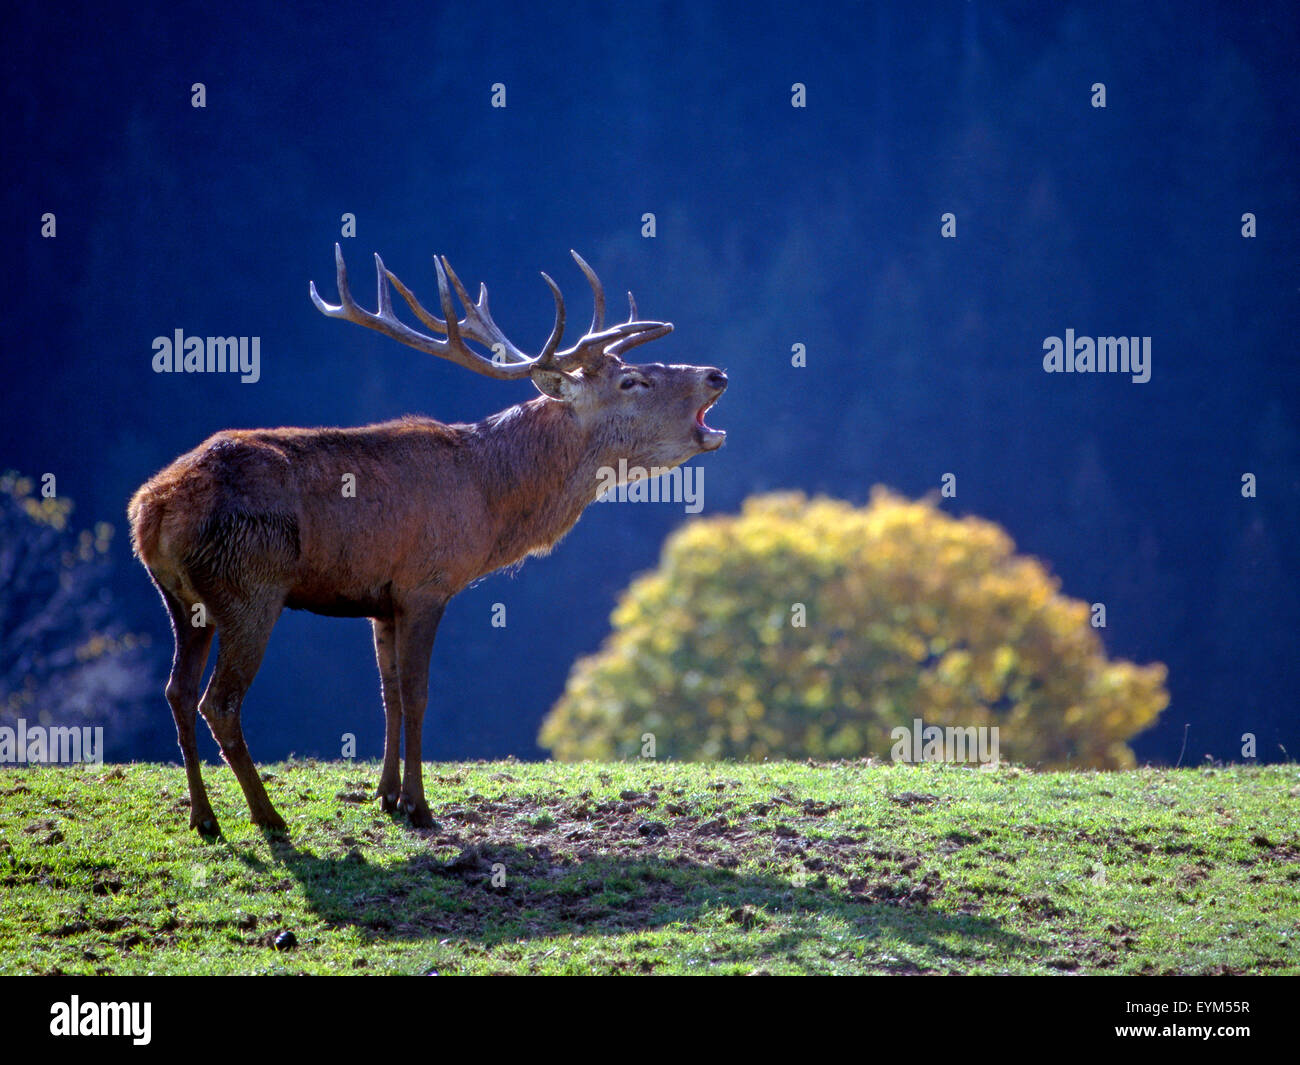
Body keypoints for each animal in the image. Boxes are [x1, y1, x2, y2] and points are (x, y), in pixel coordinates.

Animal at [128, 245, 727, 836]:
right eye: (633, 382)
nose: (716, 374)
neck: (490, 500)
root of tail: (150, 509)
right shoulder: (425, 584)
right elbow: (416, 694)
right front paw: (420, 807)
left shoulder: (380, 599)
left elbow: (389, 694)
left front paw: (386, 796)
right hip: (248, 586)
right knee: (220, 702)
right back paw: (267, 817)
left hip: (181, 599)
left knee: (177, 692)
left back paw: (204, 819)